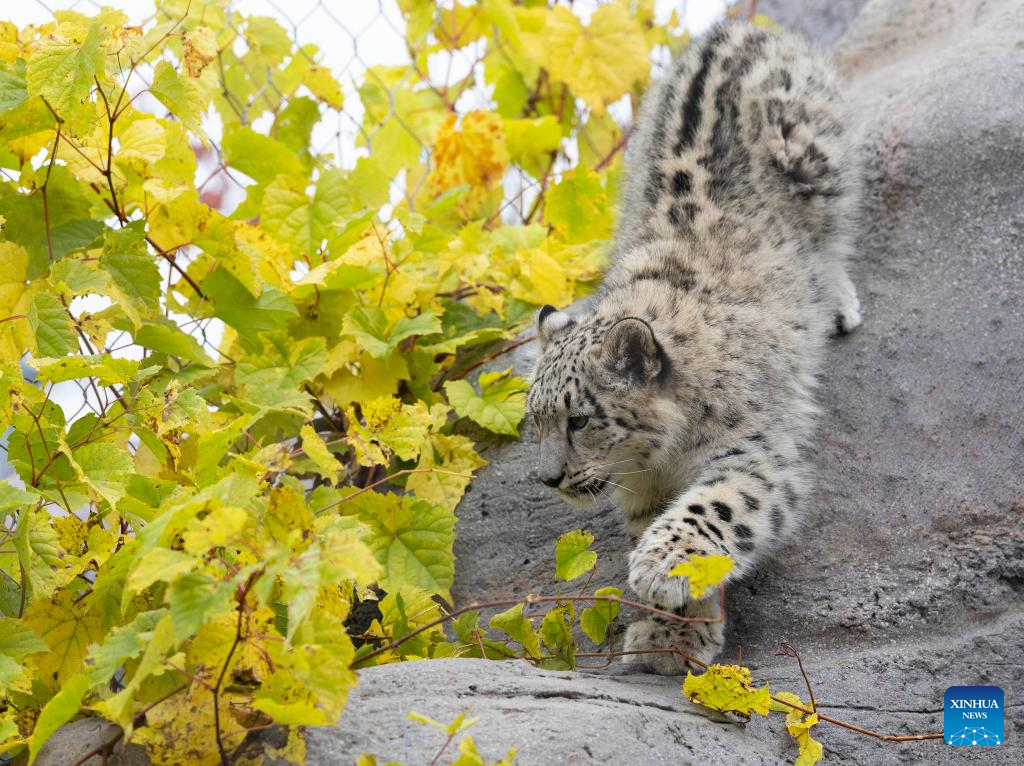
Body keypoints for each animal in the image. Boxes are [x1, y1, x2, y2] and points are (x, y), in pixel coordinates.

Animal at [526, 20, 862, 675]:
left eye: (580, 420)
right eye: (537, 420)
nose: (549, 479)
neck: (663, 458)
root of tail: (736, 28)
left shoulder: (753, 450)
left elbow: (714, 506)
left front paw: (662, 567)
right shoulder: (641, 491)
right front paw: (671, 635)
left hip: (819, 158)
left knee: (833, 228)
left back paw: (834, 298)